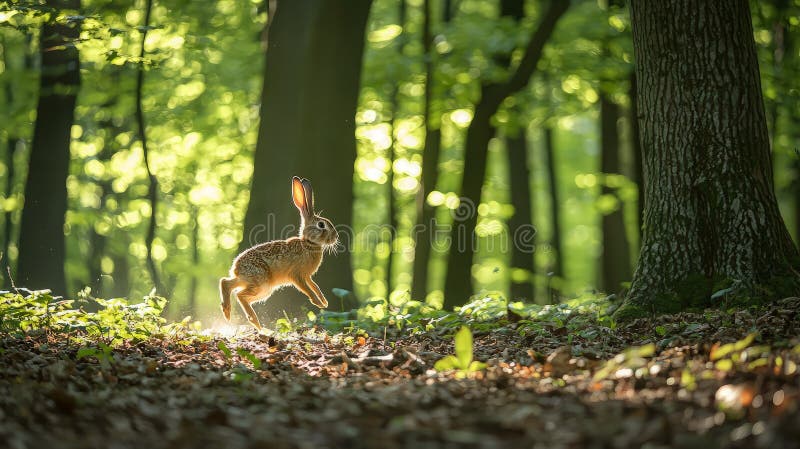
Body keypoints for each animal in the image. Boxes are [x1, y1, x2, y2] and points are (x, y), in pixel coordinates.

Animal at [219, 176, 338, 330]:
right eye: (321, 225)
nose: (336, 237)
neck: (309, 243)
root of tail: (236, 268)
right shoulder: (297, 276)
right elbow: (308, 290)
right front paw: (317, 303)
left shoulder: (307, 276)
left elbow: (315, 286)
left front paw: (324, 303)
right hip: (262, 283)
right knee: (240, 295)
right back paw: (255, 321)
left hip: (255, 284)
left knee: (226, 283)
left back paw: (229, 312)